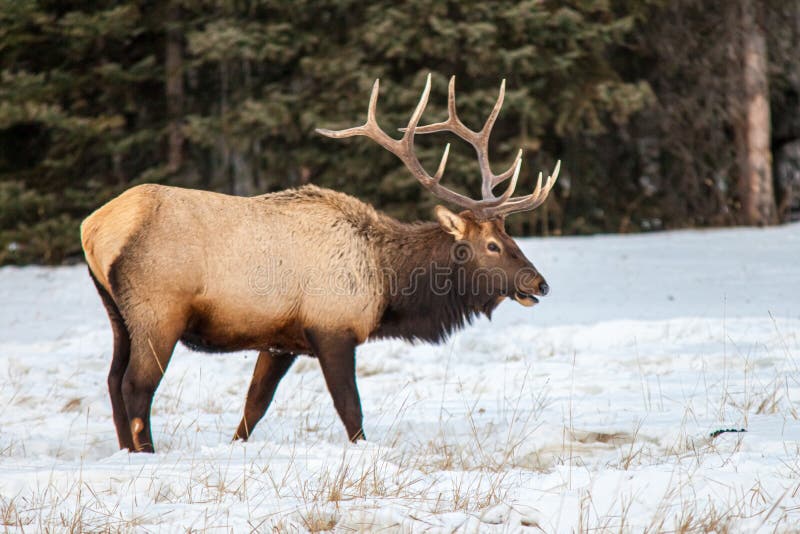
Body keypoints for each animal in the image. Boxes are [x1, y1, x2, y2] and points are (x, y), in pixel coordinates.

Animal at [81, 74, 559, 452]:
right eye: (493, 245)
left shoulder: (280, 340)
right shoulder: (332, 326)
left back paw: (126, 452)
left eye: (511, 238)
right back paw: (146, 453)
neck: (388, 285)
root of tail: (94, 228)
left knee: (112, 381)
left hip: (117, 313)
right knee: (136, 385)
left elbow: (253, 408)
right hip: (158, 310)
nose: (539, 283)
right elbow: (351, 409)